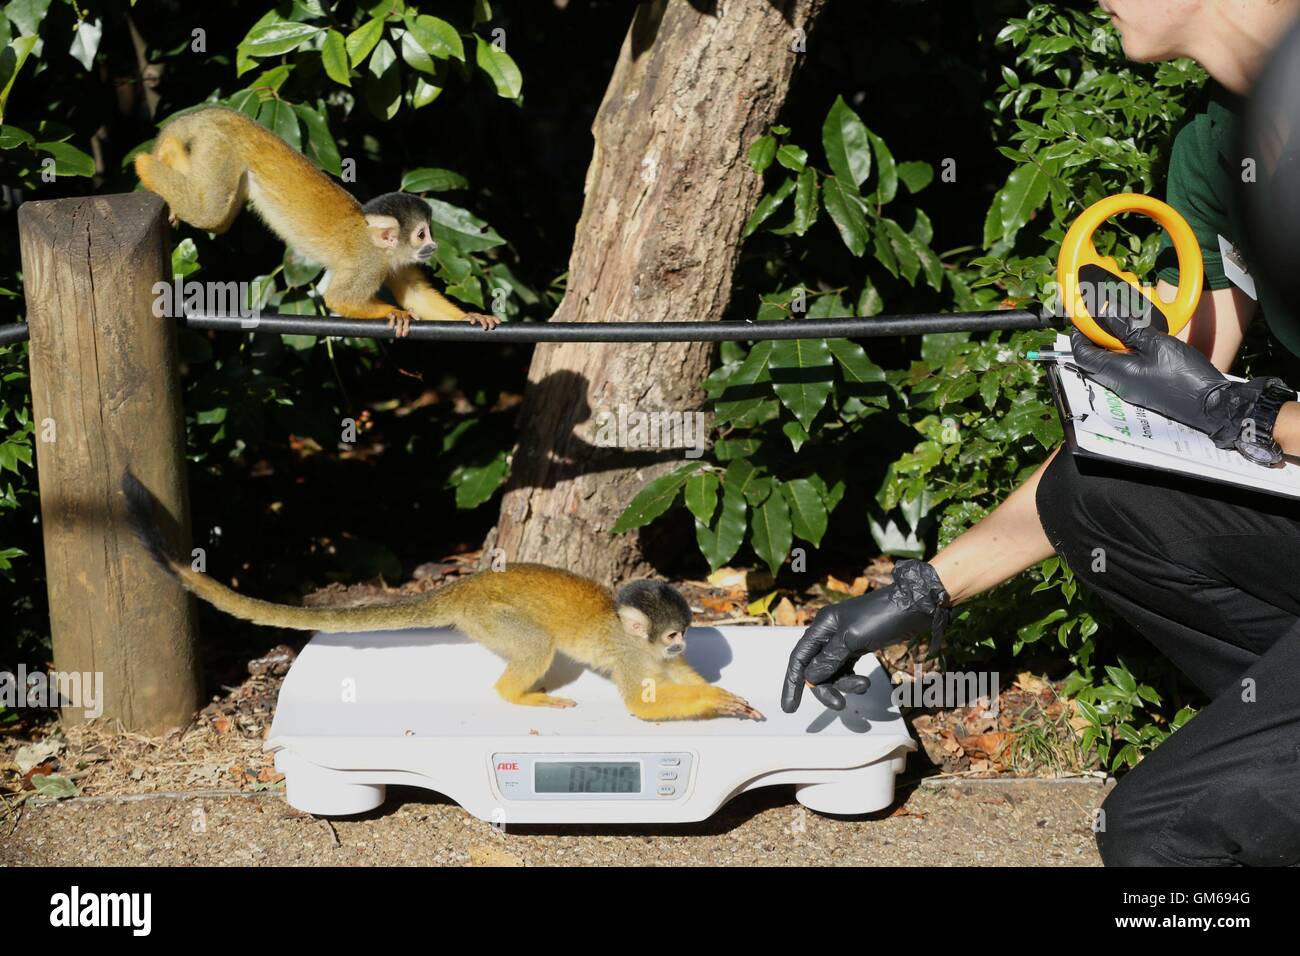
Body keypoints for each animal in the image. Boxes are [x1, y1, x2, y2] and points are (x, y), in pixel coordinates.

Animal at [121, 471, 763, 722]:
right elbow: (642, 706)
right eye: (674, 631)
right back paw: (518, 696)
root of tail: (464, 585)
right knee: (535, 645)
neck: (638, 639)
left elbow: (674, 683)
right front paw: (716, 704)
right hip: (493, 618)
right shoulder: (633, 655)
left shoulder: (652, 657)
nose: (680, 645)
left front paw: (721, 693)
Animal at [134, 106, 499, 337]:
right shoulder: (369, 264)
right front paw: (392, 313)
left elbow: (417, 295)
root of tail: (233, 118)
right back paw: (146, 160)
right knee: (210, 214)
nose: (433, 246)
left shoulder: (395, 261)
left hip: (219, 154)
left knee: (217, 217)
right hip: (220, 149)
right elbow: (339, 299)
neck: (381, 247)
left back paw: (170, 154)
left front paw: (472, 316)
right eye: (422, 234)